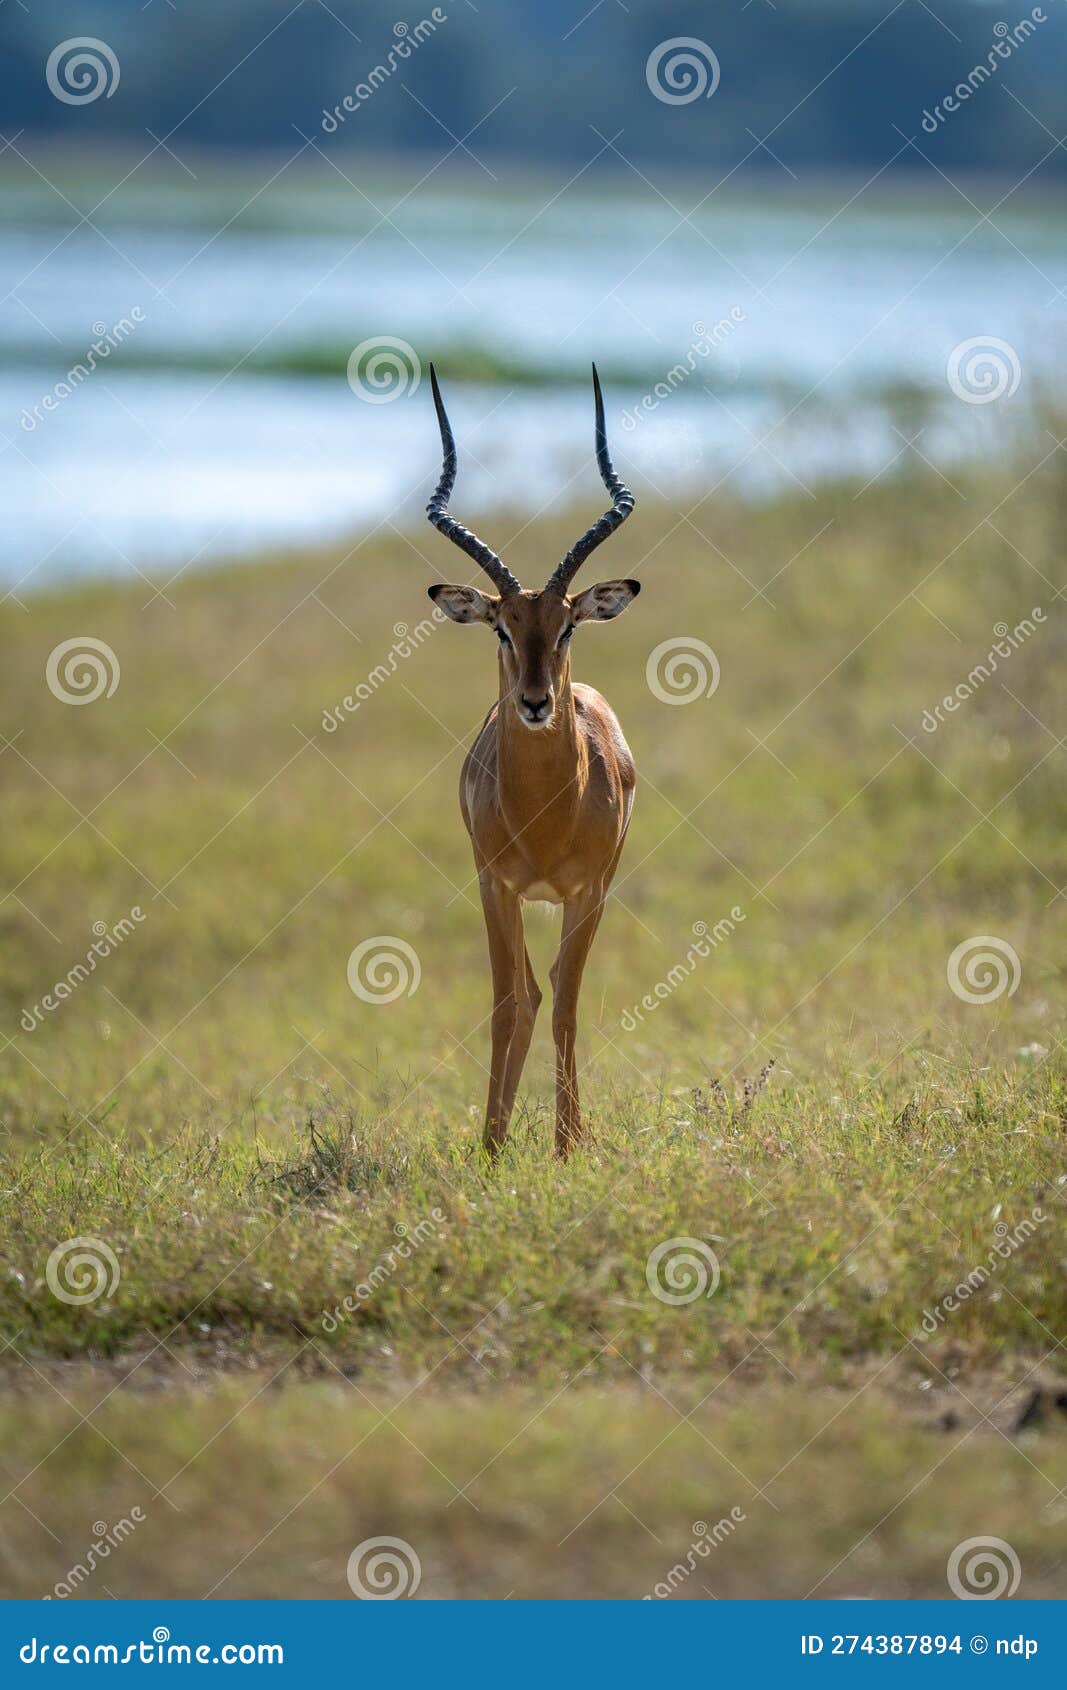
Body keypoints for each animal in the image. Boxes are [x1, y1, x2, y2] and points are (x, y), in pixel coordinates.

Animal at [425, 364, 640, 1159]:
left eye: (567, 623)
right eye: (502, 629)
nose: (537, 701)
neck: (549, 814)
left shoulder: (589, 892)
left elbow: (568, 1007)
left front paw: (567, 1146)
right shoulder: (495, 886)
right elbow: (506, 1005)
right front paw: (491, 1146)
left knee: (551, 991)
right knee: (526, 993)